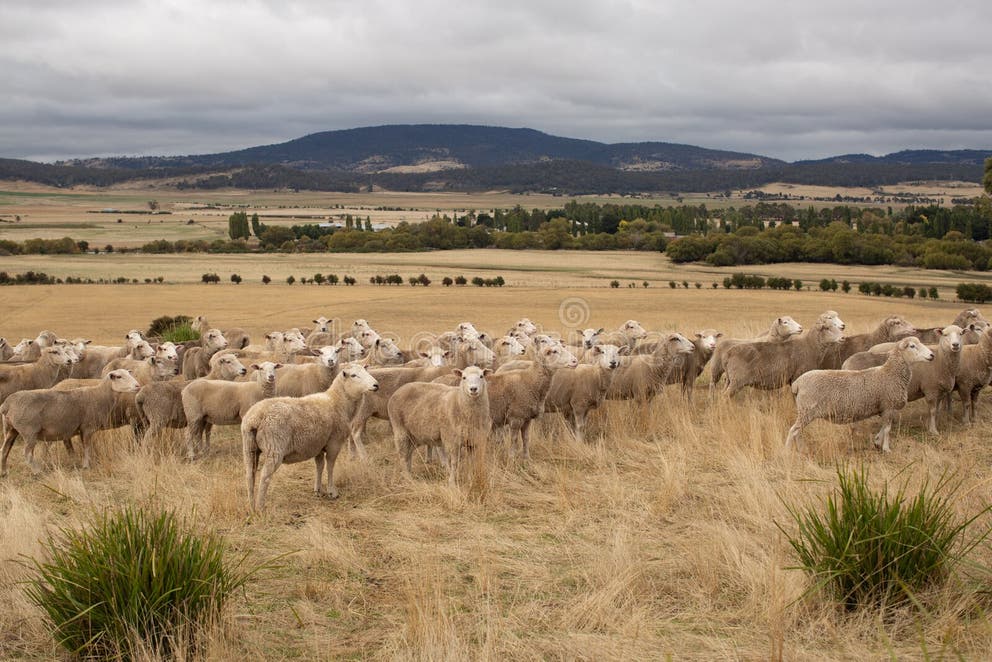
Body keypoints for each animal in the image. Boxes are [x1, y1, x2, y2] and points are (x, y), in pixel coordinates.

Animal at [1, 369, 141, 475]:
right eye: (119, 376)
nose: (137, 386)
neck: (99, 395)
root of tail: (7, 405)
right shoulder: (87, 427)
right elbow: (87, 447)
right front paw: (86, 465)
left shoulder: (75, 430)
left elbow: (77, 449)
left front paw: (79, 464)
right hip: (29, 431)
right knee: (27, 453)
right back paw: (37, 471)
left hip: (10, 429)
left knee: (4, 449)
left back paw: (4, 472)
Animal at [241, 363, 379, 511]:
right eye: (354, 375)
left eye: (366, 371)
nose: (376, 385)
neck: (338, 401)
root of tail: (255, 418)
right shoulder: (334, 442)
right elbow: (330, 466)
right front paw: (332, 491)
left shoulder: (318, 444)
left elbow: (319, 465)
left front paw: (317, 490)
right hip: (274, 448)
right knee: (265, 477)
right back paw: (260, 508)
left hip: (249, 448)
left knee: (249, 475)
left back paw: (251, 506)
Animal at [785, 337, 935, 453]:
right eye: (912, 346)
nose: (932, 355)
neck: (891, 373)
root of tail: (797, 383)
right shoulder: (888, 405)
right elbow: (887, 429)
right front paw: (886, 448)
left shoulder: (884, 408)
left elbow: (884, 427)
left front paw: (877, 442)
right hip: (807, 410)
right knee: (793, 431)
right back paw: (787, 451)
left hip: (805, 412)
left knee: (798, 432)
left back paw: (801, 450)